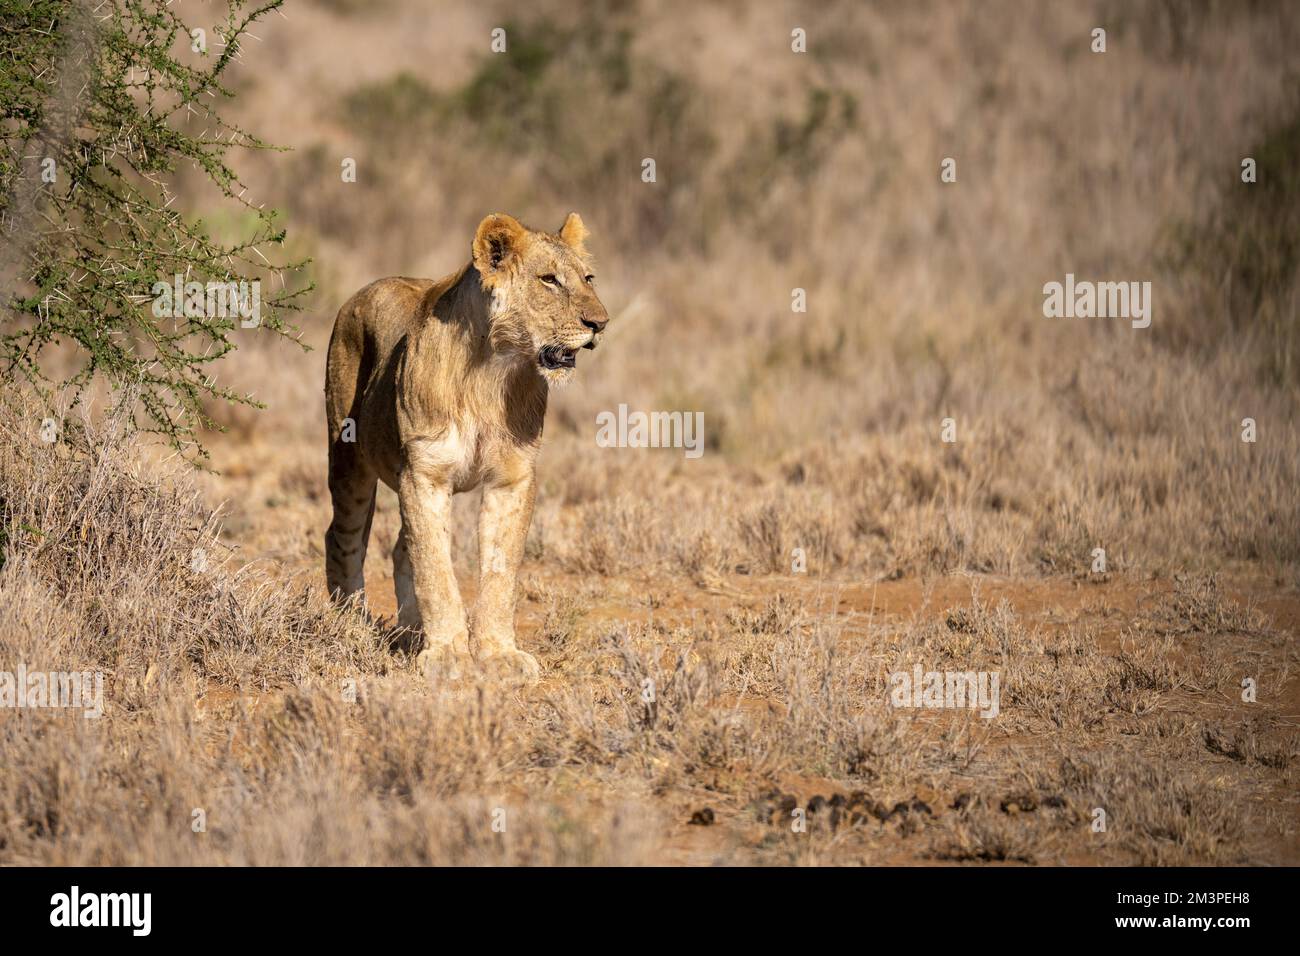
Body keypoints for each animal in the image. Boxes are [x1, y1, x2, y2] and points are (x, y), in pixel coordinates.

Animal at [324, 212, 609, 685]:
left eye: (588, 278)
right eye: (549, 280)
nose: (600, 324)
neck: (491, 372)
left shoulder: (512, 479)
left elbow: (499, 571)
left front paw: (497, 654)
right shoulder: (424, 474)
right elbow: (437, 570)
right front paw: (446, 656)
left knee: (402, 548)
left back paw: (411, 630)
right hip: (347, 461)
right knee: (342, 536)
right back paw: (349, 624)